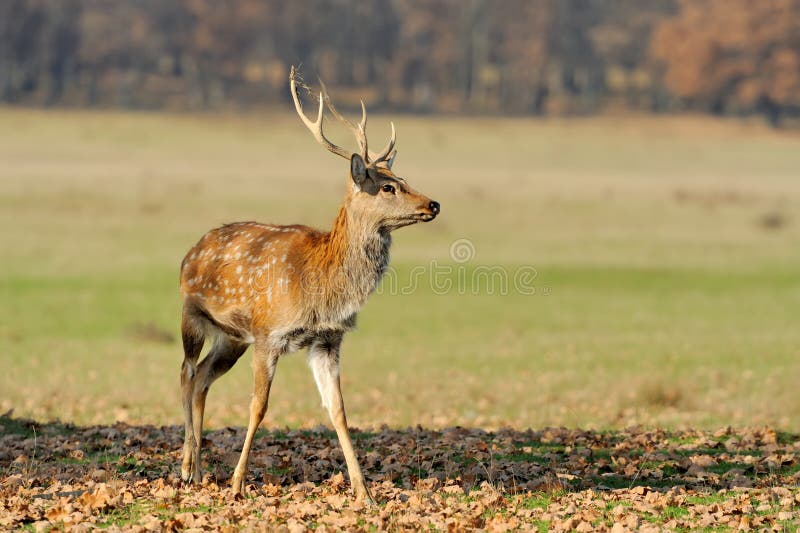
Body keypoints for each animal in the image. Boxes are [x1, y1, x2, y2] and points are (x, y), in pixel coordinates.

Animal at [178, 67, 440, 503]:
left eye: (402, 177)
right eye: (387, 186)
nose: (432, 204)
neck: (321, 286)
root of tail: (191, 251)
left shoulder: (327, 340)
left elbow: (338, 410)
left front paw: (364, 492)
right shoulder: (269, 333)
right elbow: (259, 407)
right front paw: (237, 484)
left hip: (231, 338)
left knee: (201, 379)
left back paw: (198, 471)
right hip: (191, 314)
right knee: (185, 372)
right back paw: (185, 467)